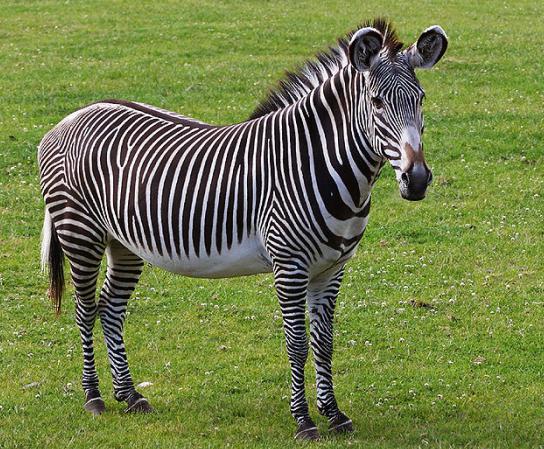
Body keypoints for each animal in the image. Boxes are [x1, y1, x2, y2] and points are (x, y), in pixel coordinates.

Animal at [37, 19, 446, 440]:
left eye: (421, 99)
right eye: (377, 102)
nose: (416, 180)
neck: (319, 162)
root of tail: (74, 115)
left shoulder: (332, 267)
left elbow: (324, 342)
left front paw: (334, 414)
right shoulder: (290, 265)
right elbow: (298, 344)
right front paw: (304, 421)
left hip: (124, 243)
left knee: (111, 308)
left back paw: (130, 395)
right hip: (80, 232)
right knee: (85, 309)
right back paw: (94, 397)